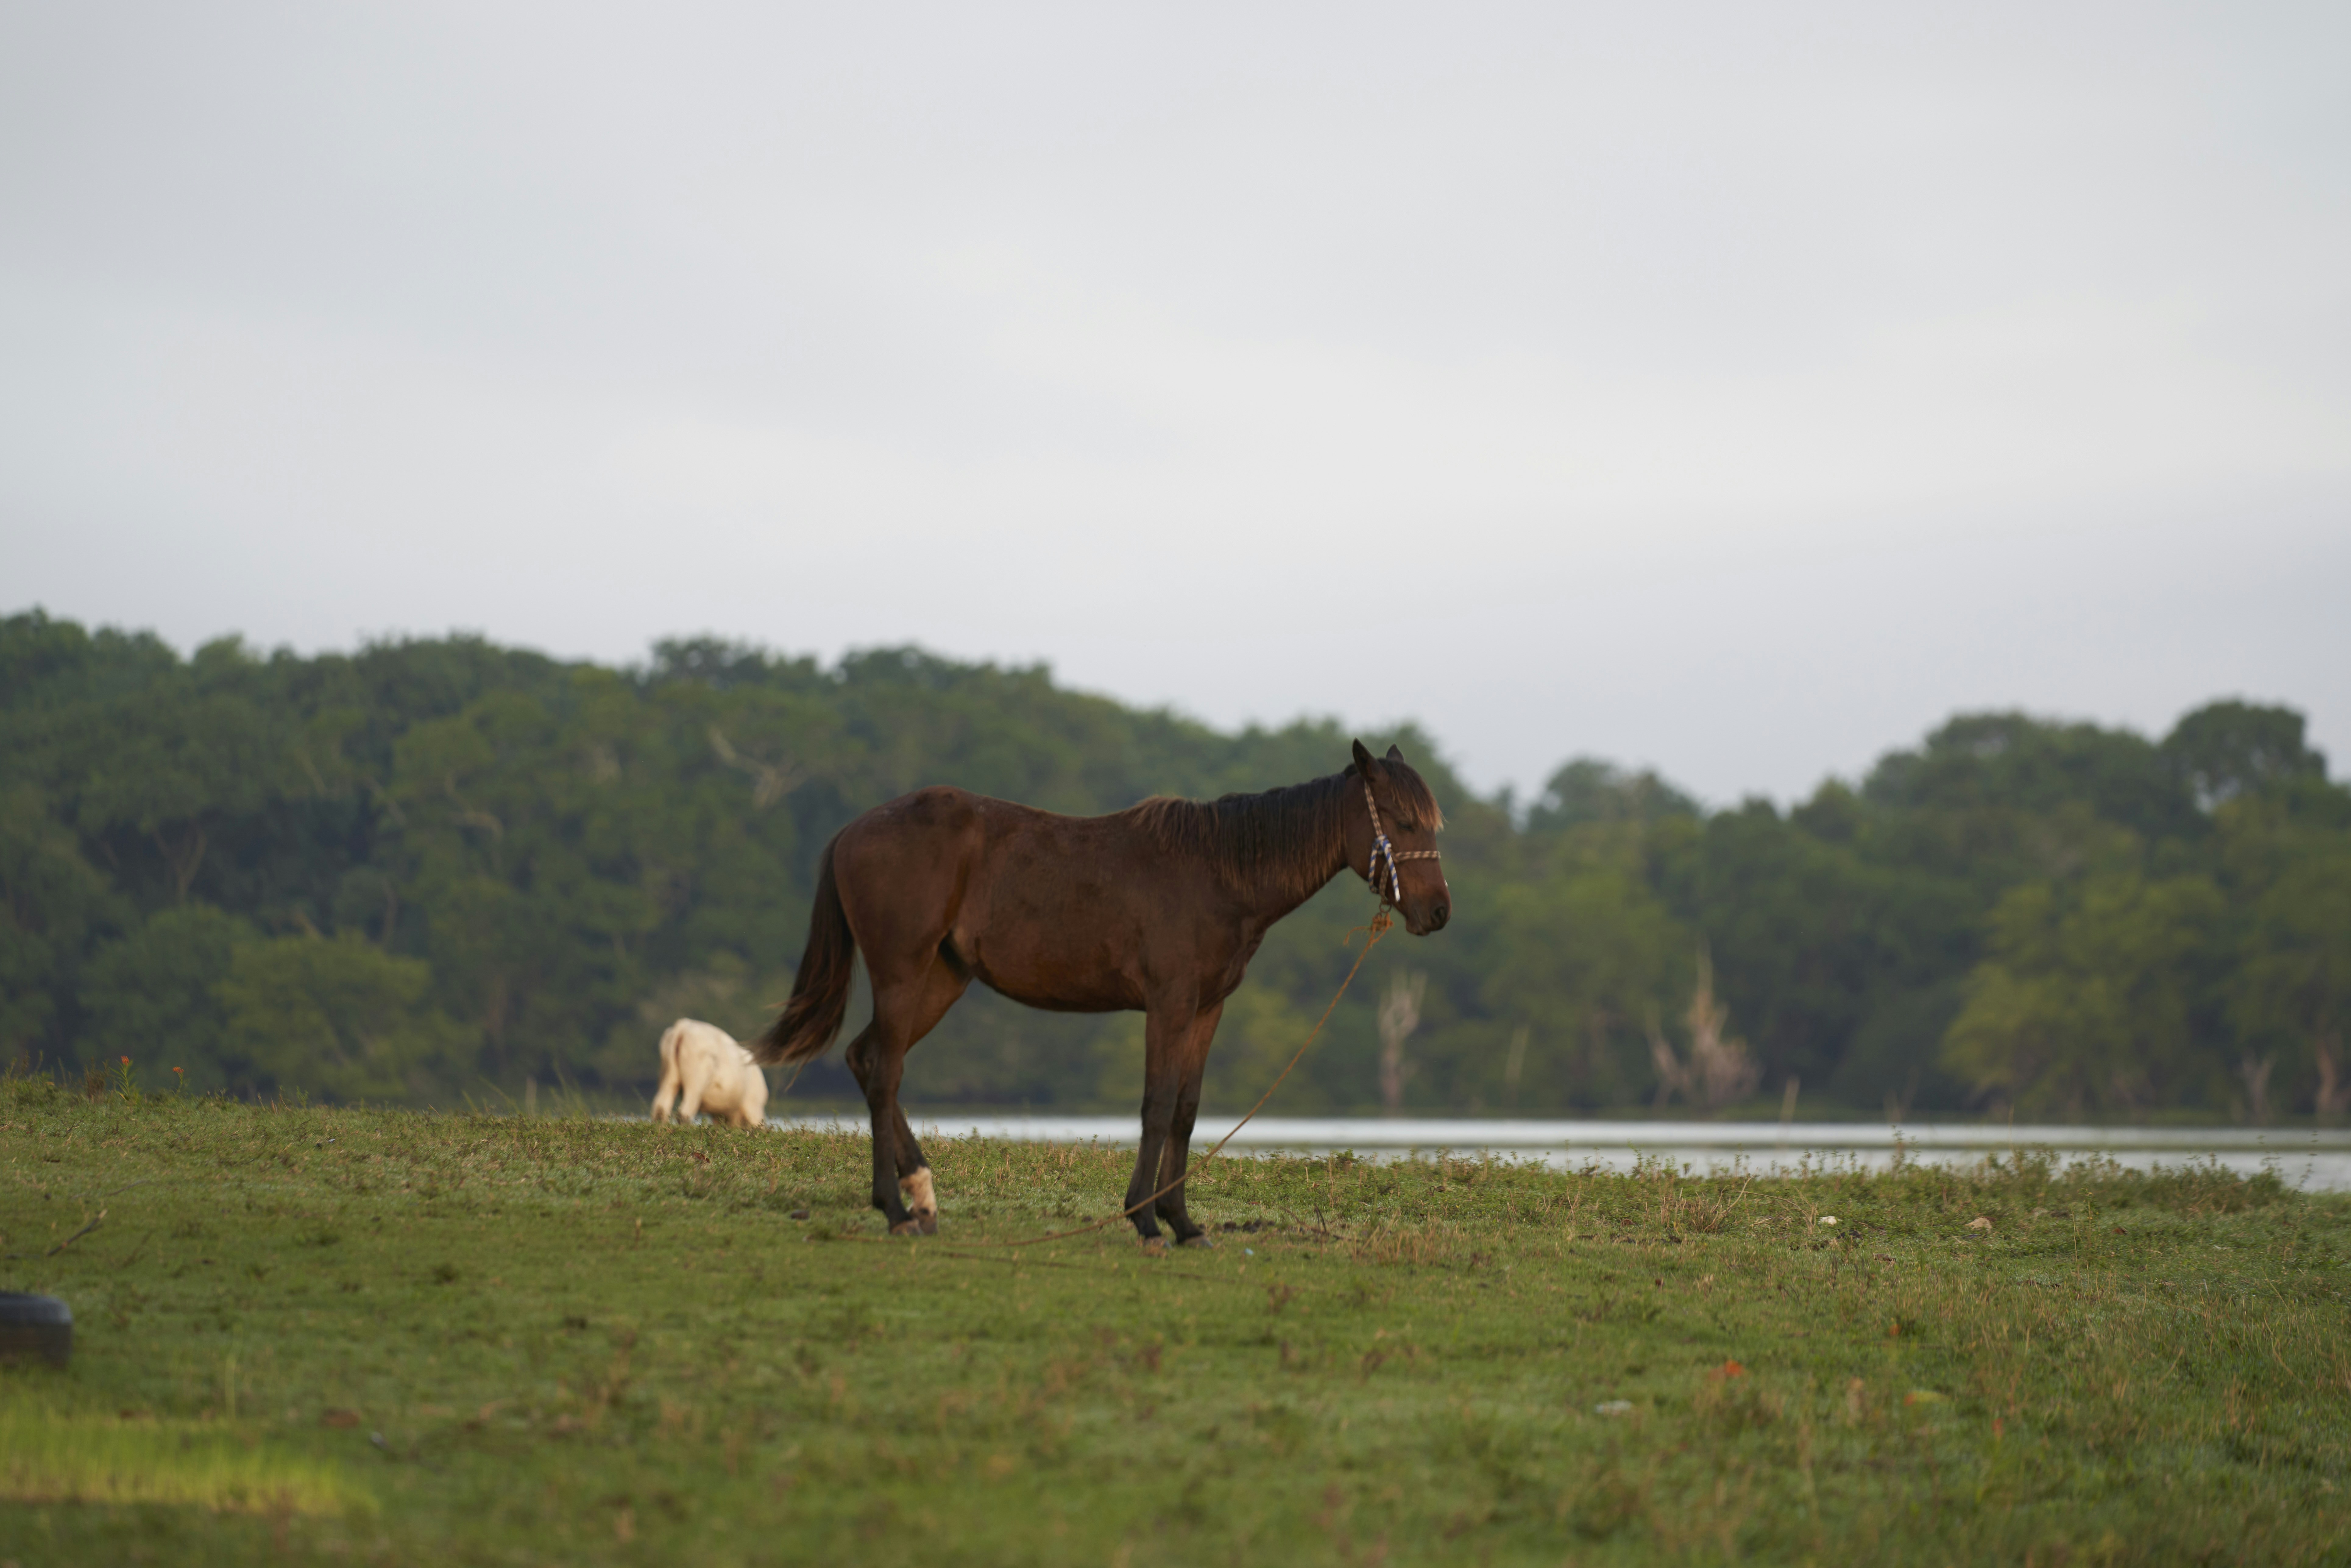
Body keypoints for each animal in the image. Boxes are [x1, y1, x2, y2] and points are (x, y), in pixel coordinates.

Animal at [650, 1018, 771, 1128]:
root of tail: (683, 1026)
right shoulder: (754, 1105)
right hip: (695, 1081)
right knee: (684, 1112)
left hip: (668, 1076)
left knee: (660, 1108)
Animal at [756, 740, 1451, 1245]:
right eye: (1403, 820)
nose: (1440, 912)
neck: (1219, 874)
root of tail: (853, 830)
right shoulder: (1168, 1004)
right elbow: (1156, 1105)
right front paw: (1144, 1219)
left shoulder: (1206, 1009)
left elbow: (1186, 1109)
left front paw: (1183, 1222)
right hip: (901, 971)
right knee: (884, 1073)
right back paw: (897, 1209)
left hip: (942, 979)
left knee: (868, 1058)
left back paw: (921, 1197)